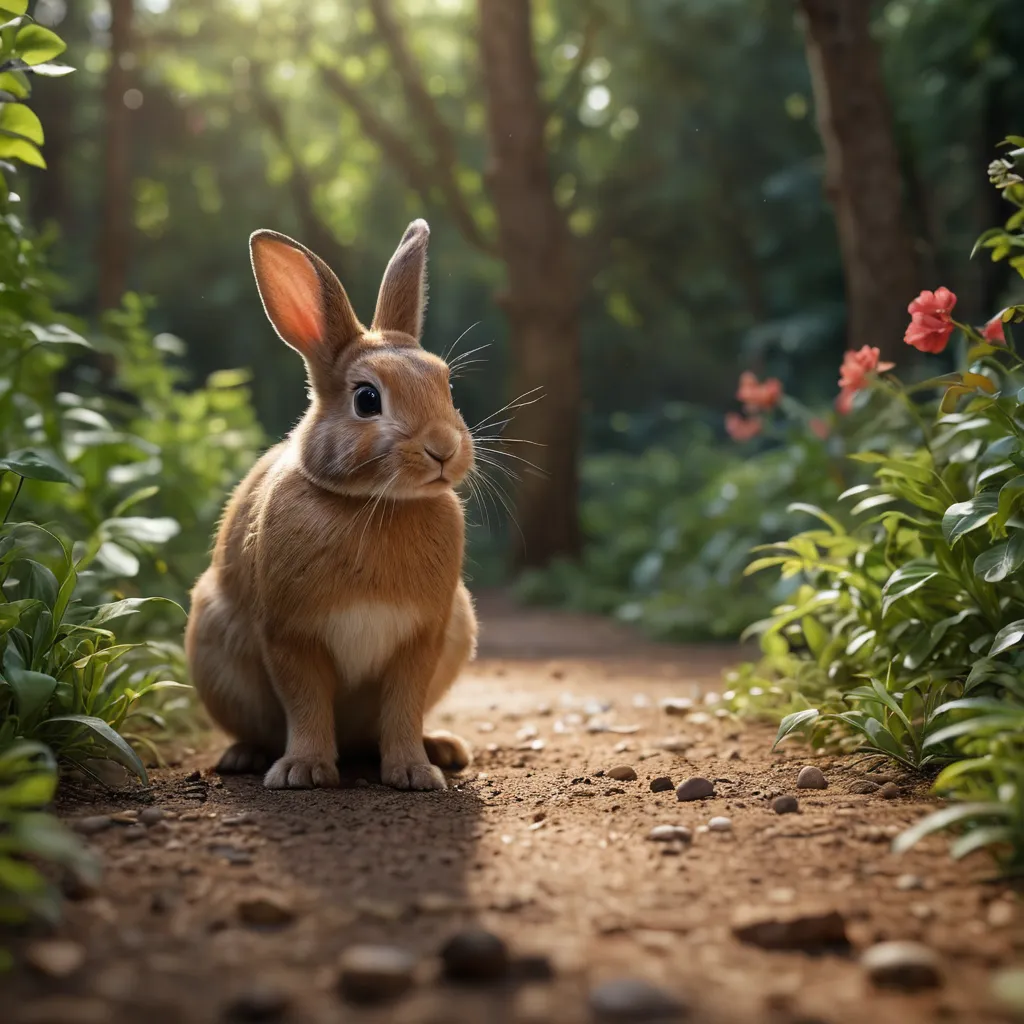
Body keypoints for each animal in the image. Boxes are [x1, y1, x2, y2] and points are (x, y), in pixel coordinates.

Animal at [184, 219, 477, 791]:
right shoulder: (291, 636)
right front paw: (302, 772)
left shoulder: (421, 640)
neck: (373, 502)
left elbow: (404, 707)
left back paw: (442, 748)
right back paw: (245, 757)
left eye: (446, 385)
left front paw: (415, 773)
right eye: (367, 399)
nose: (444, 448)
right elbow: (305, 704)